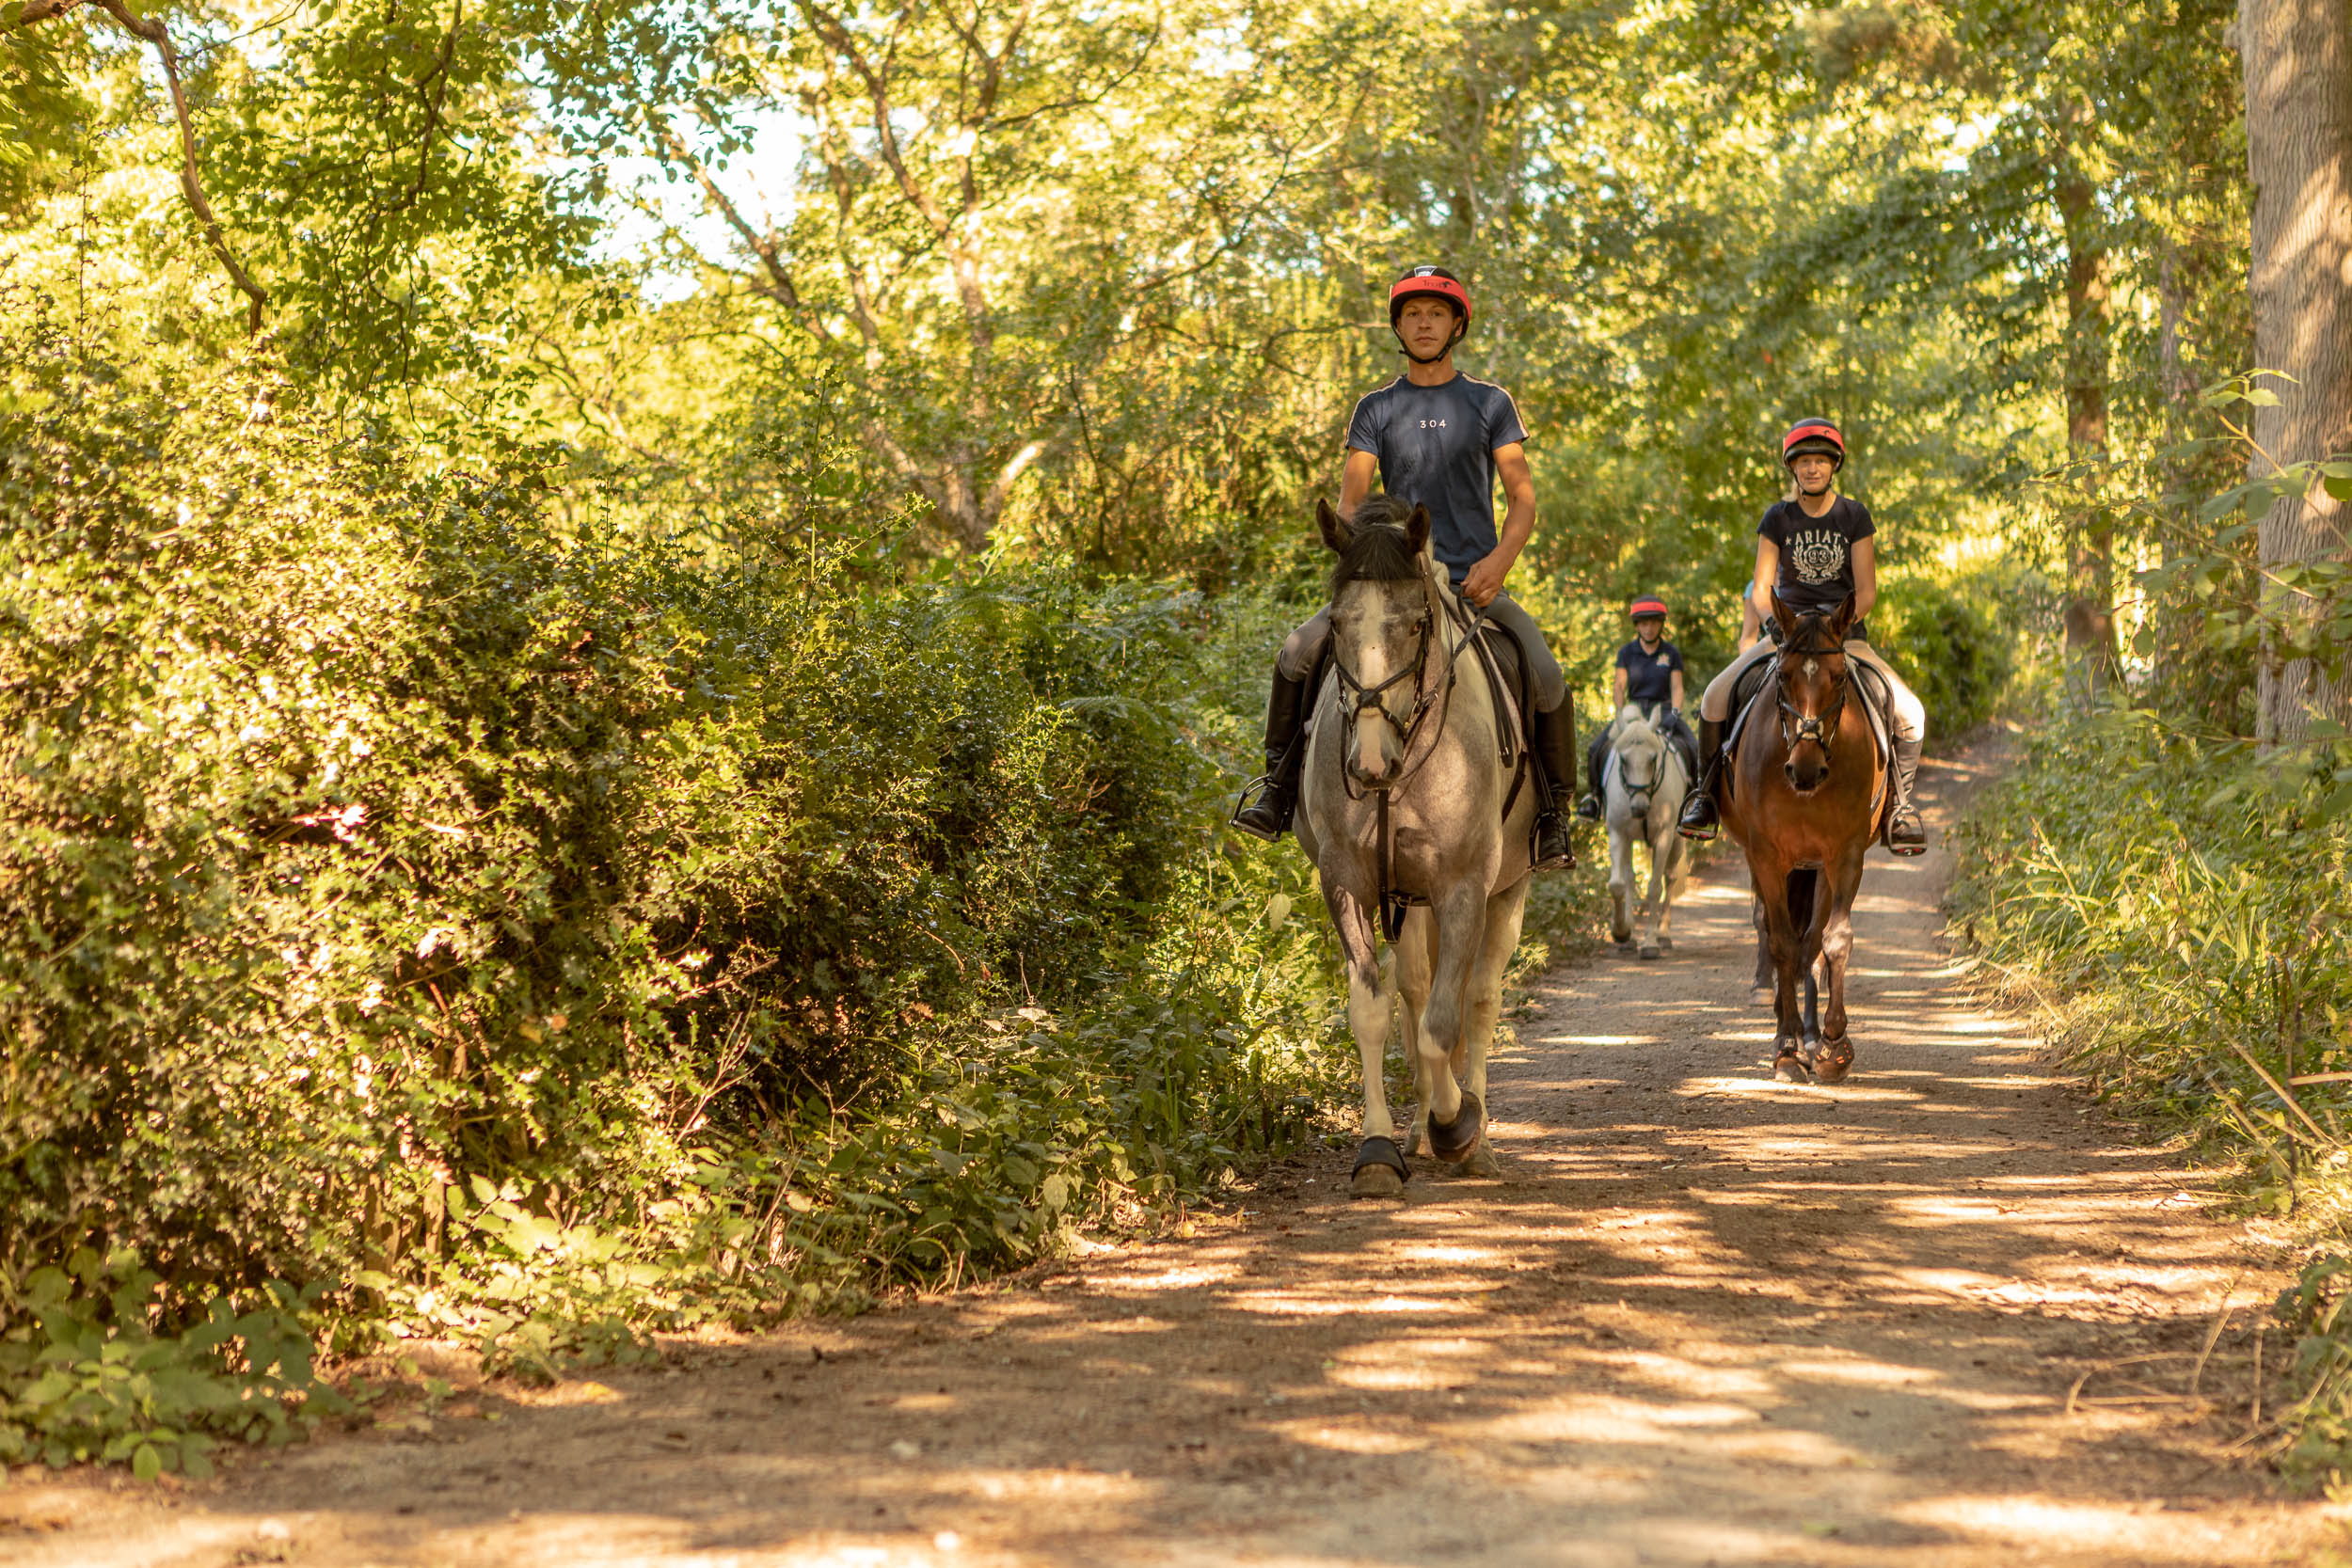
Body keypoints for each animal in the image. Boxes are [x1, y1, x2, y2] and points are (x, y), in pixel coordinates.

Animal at [1294, 495, 1536, 1197]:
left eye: (1415, 623)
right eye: (1339, 623)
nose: (1370, 763)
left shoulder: (1462, 888)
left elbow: (1442, 1025)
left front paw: (1458, 1125)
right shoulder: (1346, 880)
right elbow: (1375, 1011)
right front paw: (1378, 1149)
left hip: (1508, 888)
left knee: (1479, 998)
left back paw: (1474, 1141)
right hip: (1408, 899)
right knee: (1417, 987)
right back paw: (1418, 1129)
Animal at [1601, 703, 1689, 960]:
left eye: (1653, 759)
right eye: (1623, 760)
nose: (1639, 808)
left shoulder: (1664, 837)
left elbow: (1654, 888)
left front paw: (1650, 943)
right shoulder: (1618, 833)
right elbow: (1618, 884)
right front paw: (1621, 932)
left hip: (1677, 841)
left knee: (1670, 879)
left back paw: (1664, 935)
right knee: (1630, 878)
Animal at [1718, 591, 1886, 1084]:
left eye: (1839, 677)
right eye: (1784, 676)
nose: (1805, 771)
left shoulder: (1844, 855)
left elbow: (1831, 940)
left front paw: (1831, 1043)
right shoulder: (1766, 856)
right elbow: (1781, 942)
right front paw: (1787, 1046)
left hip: (1816, 867)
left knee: (1810, 941)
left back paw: (1811, 1034)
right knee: (1776, 932)